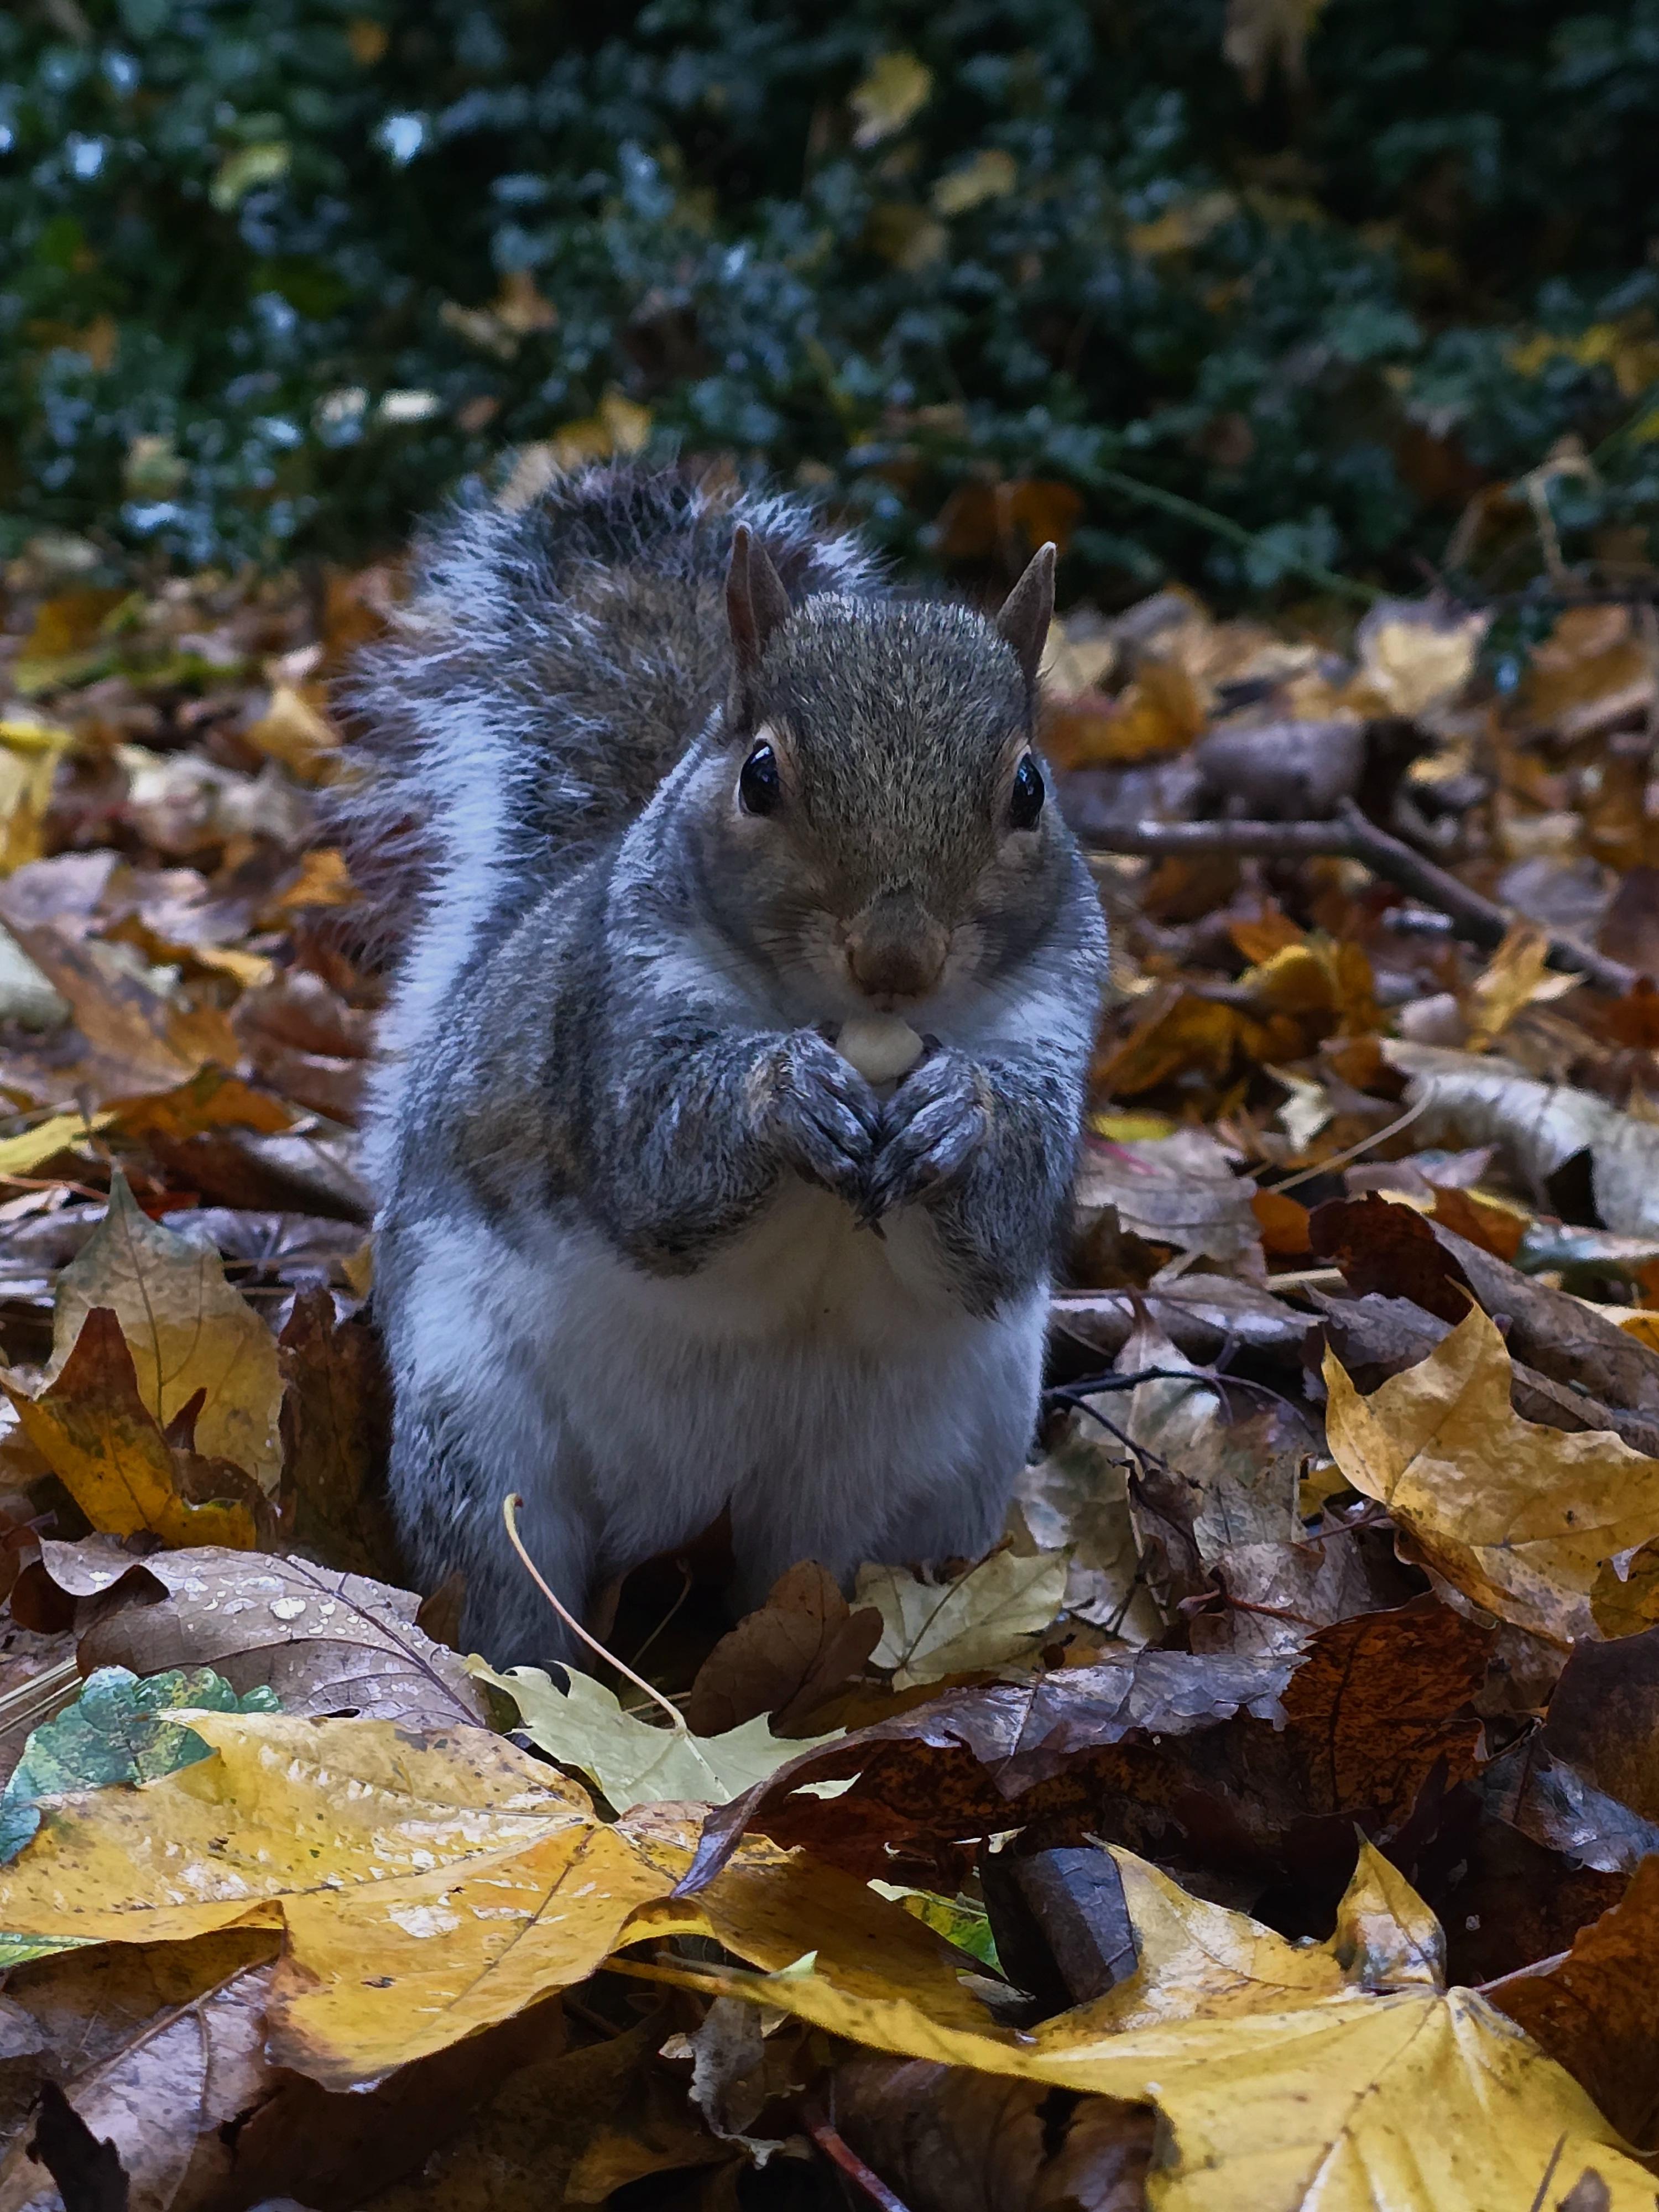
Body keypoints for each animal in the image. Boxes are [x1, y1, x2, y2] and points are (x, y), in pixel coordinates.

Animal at [344, 464, 1109, 1664]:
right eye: (760, 778)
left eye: (1028, 788)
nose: (897, 960)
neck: (838, 1023)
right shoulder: (614, 1025)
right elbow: (661, 1162)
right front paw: (780, 1095)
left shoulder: (1053, 1026)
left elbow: (1011, 1212)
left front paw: (960, 1114)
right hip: (480, 1441)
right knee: (508, 1582)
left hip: (914, 1484)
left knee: (826, 1585)